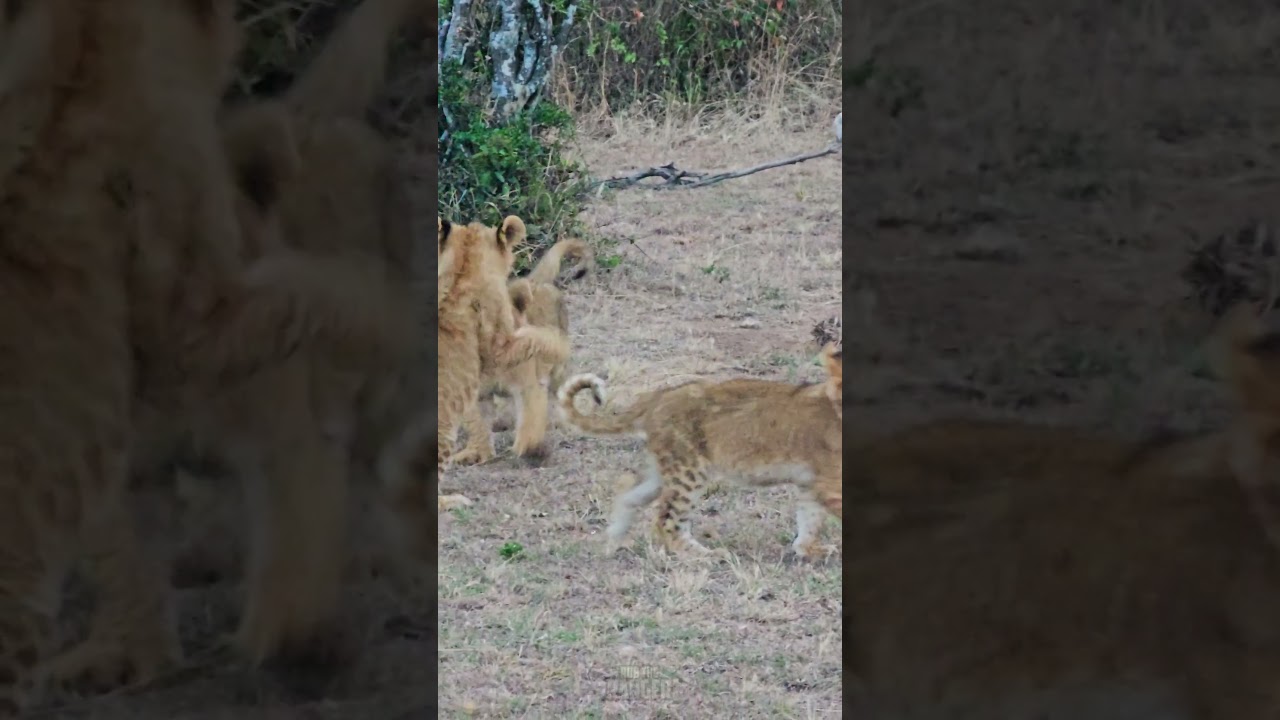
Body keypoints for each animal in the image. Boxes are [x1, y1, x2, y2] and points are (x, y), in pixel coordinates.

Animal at [557, 344, 842, 558]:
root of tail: (657, 399)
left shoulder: (811, 483)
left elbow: (809, 519)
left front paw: (808, 549)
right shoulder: (829, 485)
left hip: (662, 470)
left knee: (627, 487)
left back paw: (615, 537)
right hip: (688, 469)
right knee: (666, 522)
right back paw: (705, 556)